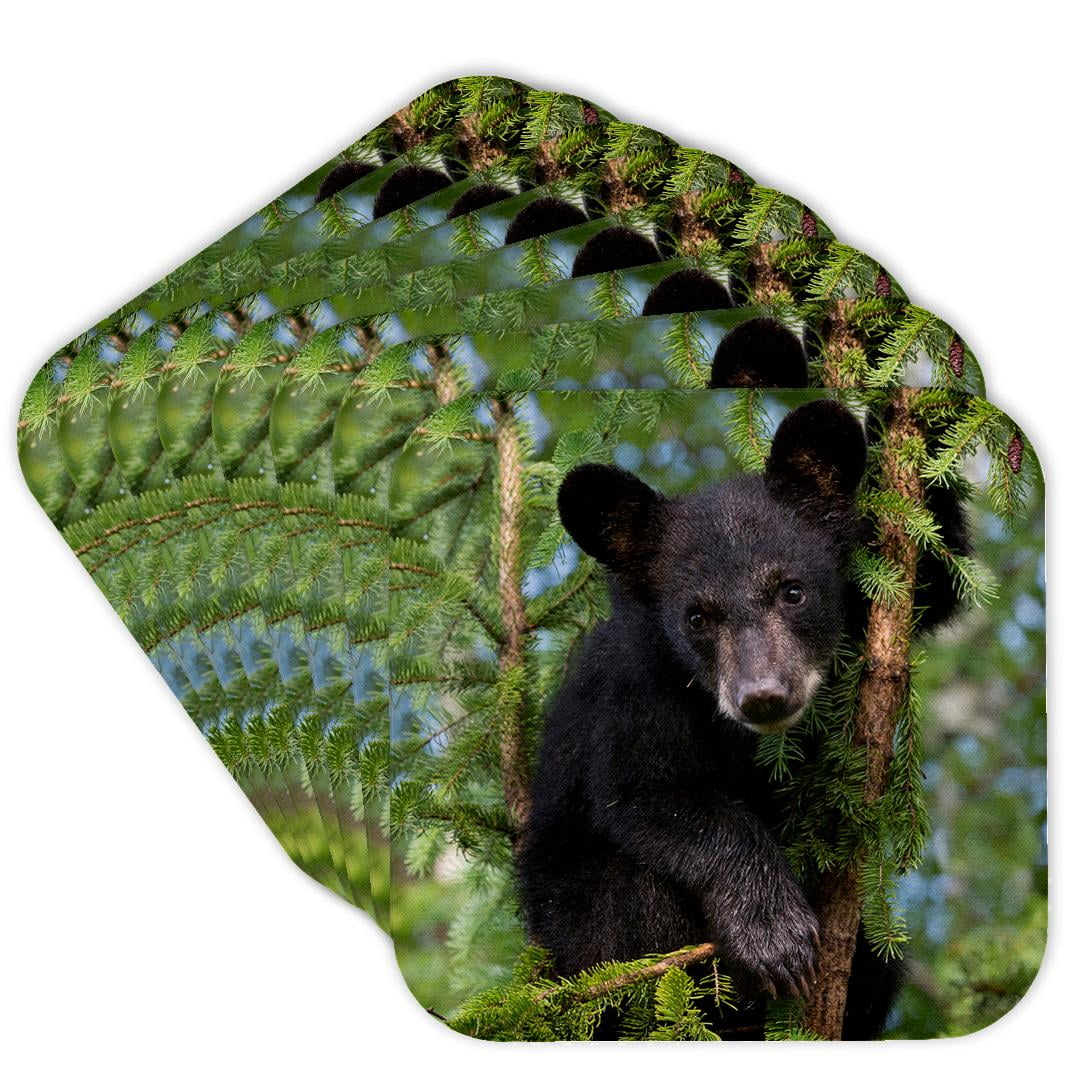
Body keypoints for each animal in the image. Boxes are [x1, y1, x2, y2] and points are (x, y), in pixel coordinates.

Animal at [516, 400, 944, 1039]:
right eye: (697, 617)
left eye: (792, 590)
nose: (762, 695)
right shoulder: (638, 690)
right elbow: (646, 793)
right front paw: (773, 937)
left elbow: (933, 579)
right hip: (570, 920)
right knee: (627, 904)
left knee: (878, 970)